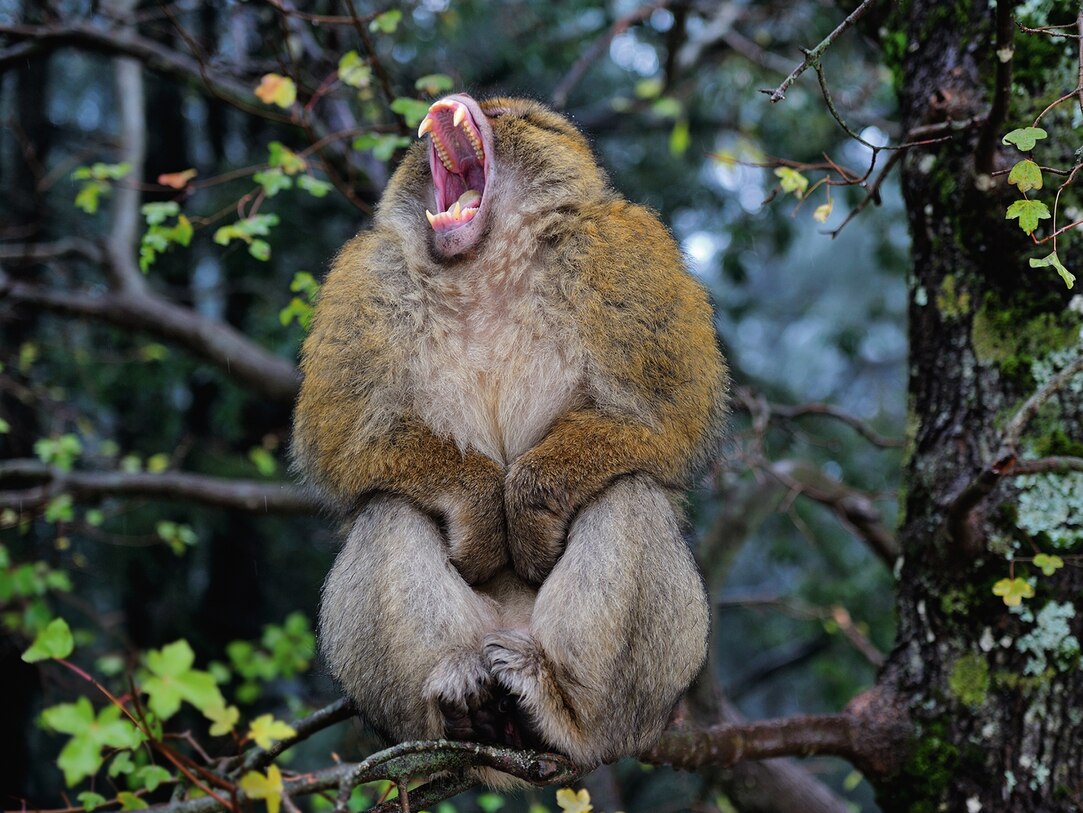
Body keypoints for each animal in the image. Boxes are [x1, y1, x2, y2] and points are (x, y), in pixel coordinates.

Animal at [292, 94, 728, 781]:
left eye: (507, 116)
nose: (460, 102)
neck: (485, 266)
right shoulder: (366, 281)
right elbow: (344, 440)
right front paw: (479, 510)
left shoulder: (625, 251)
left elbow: (669, 417)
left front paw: (528, 507)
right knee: (389, 508)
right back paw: (460, 710)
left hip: (633, 703)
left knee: (627, 492)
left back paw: (559, 713)